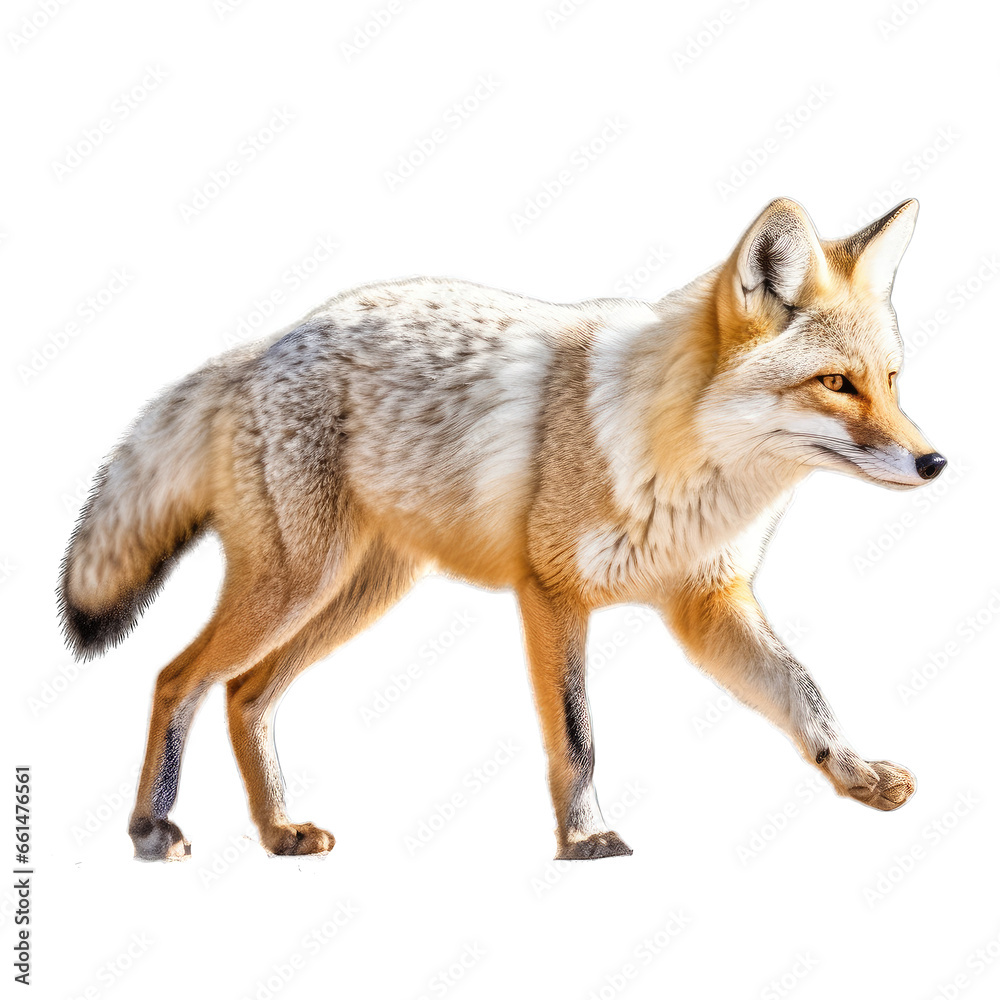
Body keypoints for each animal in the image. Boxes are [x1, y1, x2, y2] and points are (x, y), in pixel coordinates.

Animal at [59, 197, 946, 862]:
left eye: (891, 380)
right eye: (836, 384)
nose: (935, 462)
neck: (677, 463)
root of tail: (262, 344)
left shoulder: (707, 601)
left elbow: (806, 693)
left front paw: (856, 773)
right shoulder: (551, 595)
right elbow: (578, 737)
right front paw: (585, 837)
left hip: (356, 595)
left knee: (244, 694)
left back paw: (279, 831)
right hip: (295, 586)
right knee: (176, 677)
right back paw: (151, 828)